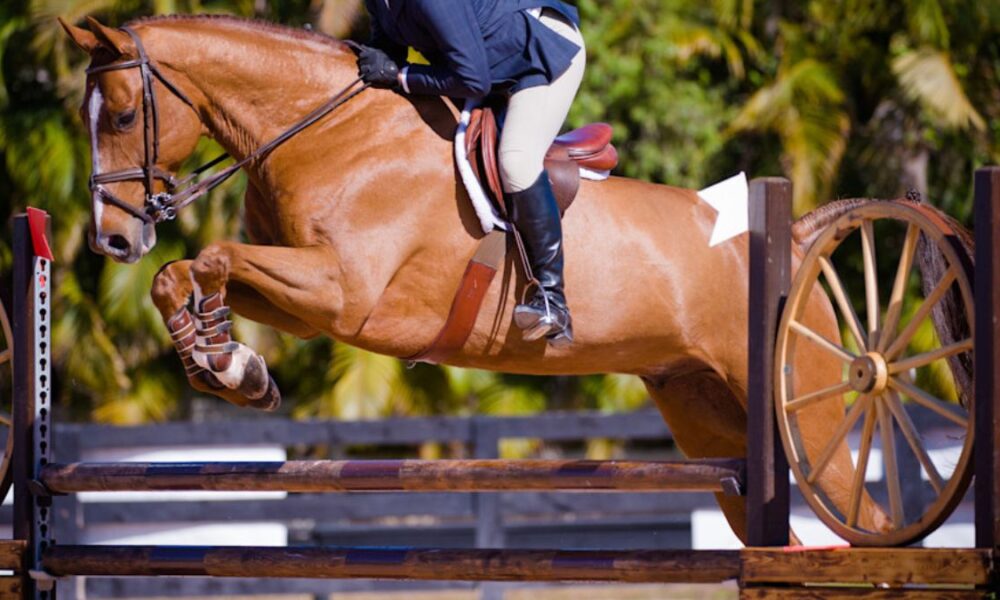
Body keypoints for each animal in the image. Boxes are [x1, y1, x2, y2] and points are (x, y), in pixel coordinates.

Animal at [59, 14, 903, 543]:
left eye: (125, 115)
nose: (112, 238)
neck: (327, 131)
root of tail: (795, 235)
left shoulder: (343, 295)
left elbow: (212, 257)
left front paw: (230, 363)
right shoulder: (306, 300)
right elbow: (184, 273)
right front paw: (226, 362)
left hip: (807, 415)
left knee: (868, 519)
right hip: (710, 420)